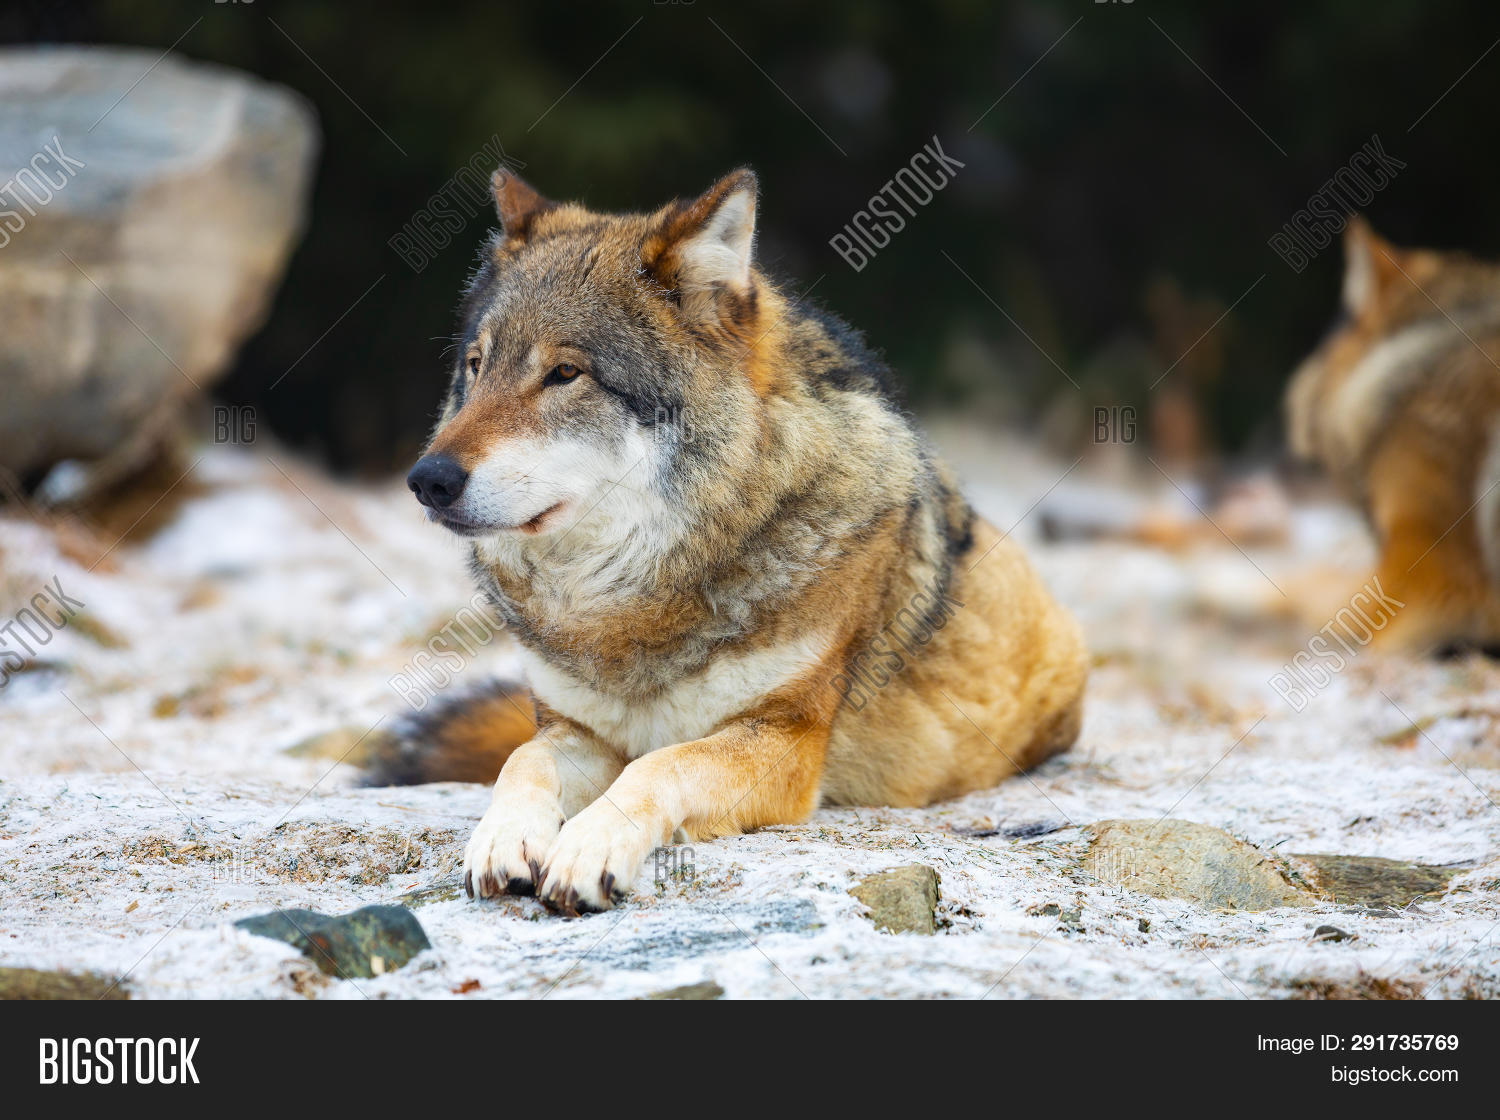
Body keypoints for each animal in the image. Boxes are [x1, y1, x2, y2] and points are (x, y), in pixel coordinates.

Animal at [394, 166, 1087, 913]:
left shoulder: (785, 740)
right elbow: (522, 761)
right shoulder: (572, 729)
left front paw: (587, 847)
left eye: (565, 373)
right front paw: (501, 838)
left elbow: (660, 765)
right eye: (475, 366)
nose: (427, 480)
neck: (630, 602)